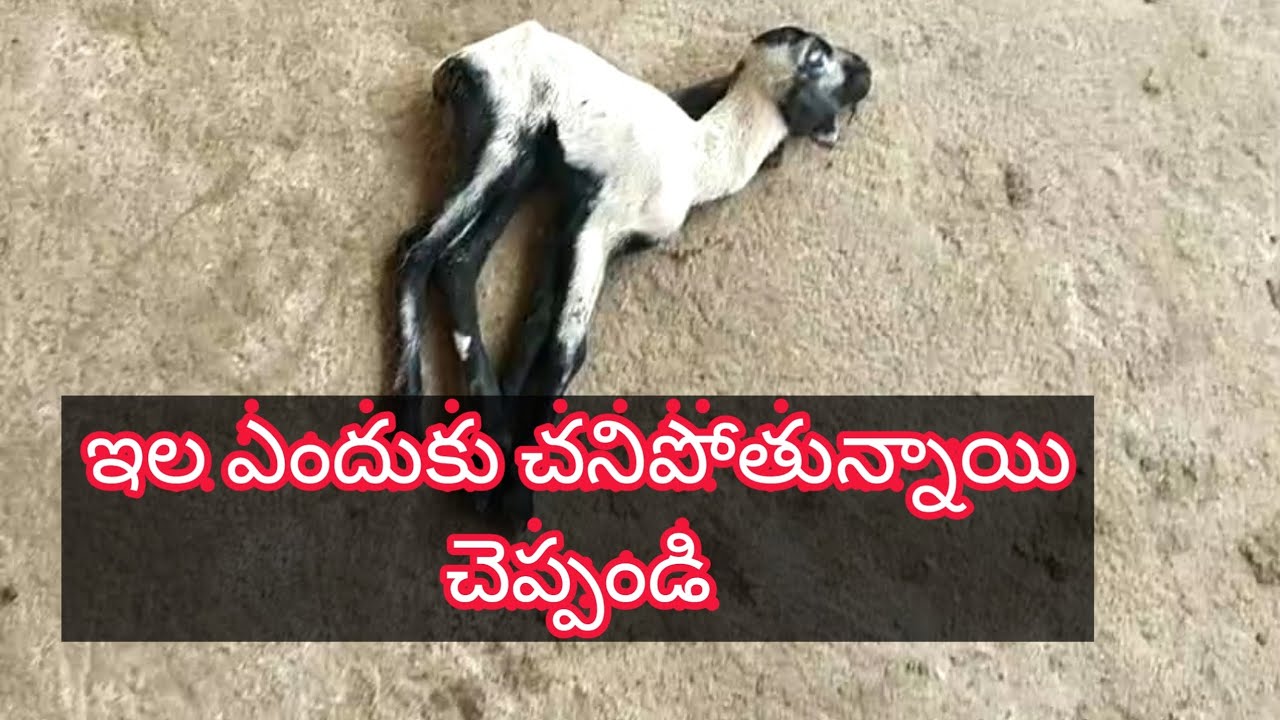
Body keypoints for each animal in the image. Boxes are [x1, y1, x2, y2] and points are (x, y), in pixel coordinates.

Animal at [393, 22, 872, 518]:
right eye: (819, 55)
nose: (867, 70)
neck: (700, 158)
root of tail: (459, 60)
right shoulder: (598, 226)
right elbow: (566, 349)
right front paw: (515, 502)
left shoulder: (570, 223)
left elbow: (535, 326)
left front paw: (493, 473)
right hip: (499, 141)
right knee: (418, 251)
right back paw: (410, 416)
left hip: (524, 166)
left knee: (459, 261)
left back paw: (487, 427)